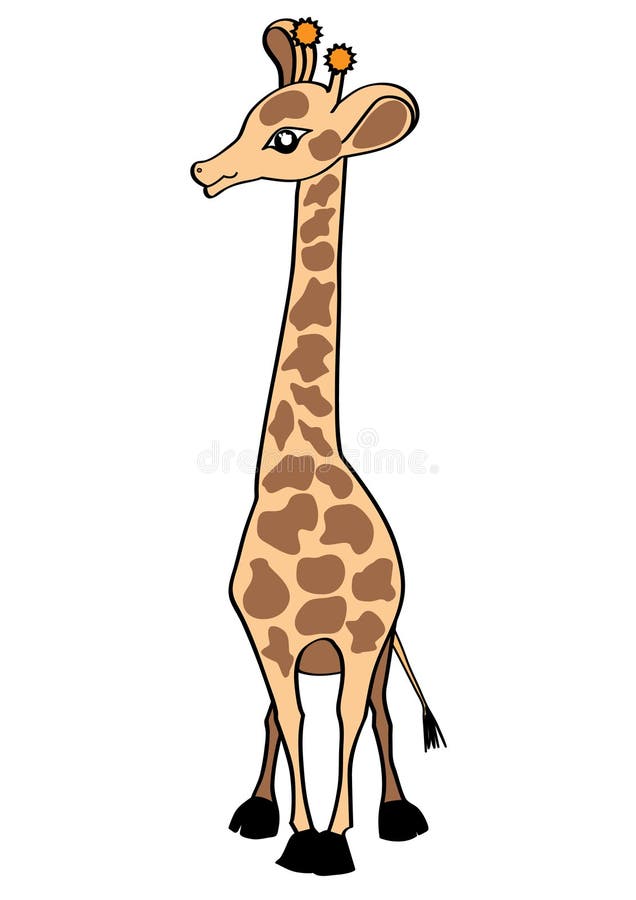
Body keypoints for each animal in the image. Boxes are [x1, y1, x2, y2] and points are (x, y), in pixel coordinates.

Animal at [191, 17, 444, 876]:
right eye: (247, 115)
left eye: (287, 136)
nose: (205, 171)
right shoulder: (269, 638)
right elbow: (294, 720)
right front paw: (299, 834)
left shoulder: (363, 639)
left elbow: (352, 723)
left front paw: (336, 838)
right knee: (279, 718)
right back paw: (256, 810)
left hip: (380, 648)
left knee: (383, 717)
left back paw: (397, 813)